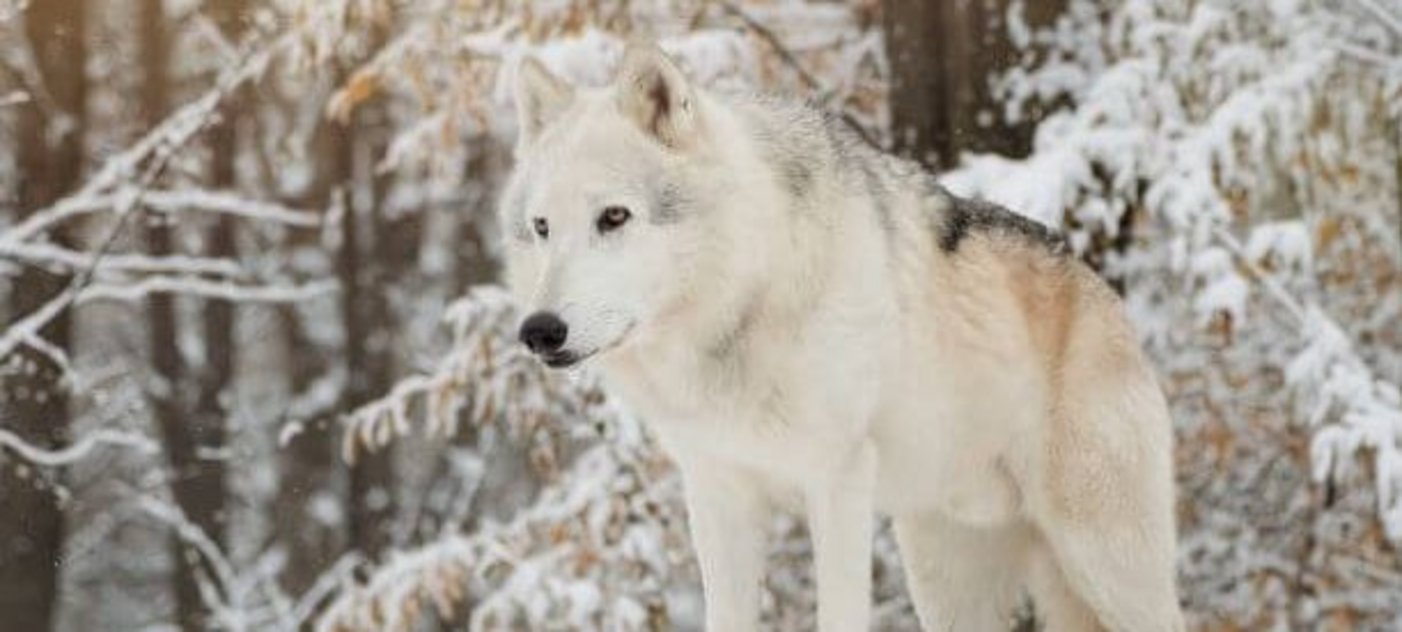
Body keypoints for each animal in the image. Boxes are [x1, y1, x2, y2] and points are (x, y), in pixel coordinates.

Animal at [499, 42, 1185, 632]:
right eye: (541, 227)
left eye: (614, 217)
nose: (538, 331)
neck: (746, 298)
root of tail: (1103, 291)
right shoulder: (718, 493)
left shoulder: (838, 483)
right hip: (945, 579)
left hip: (1106, 566)